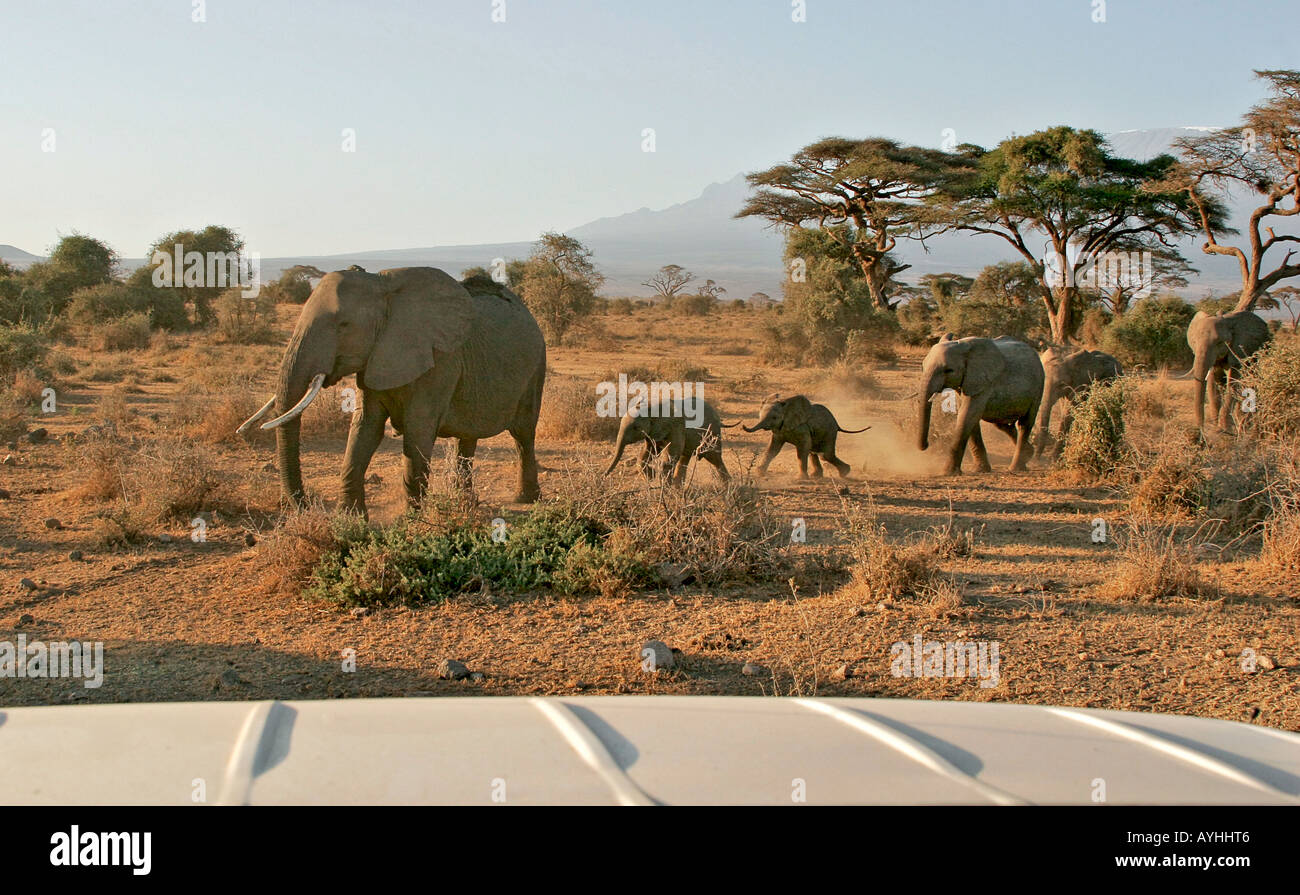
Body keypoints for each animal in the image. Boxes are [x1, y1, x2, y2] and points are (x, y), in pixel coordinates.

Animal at [237, 269, 546, 518]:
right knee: (467, 438)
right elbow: (365, 429)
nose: (308, 507)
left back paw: (526, 499)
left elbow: (417, 432)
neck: (383, 288)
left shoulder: (440, 361)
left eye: (343, 325)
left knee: (523, 434)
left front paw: (412, 521)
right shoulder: (374, 357)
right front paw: (349, 520)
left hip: (536, 366)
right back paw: (467, 502)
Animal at [734, 393, 869, 478]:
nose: (743, 425)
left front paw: (800, 479)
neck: (786, 407)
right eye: (759, 415)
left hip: (829, 432)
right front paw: (759, 473)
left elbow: (802, 449)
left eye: (774, 418)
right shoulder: (779, 431)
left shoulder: (802, 428)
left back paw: (844, 473)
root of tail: (837, 423)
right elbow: (773, 449)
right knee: (814, 452)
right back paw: (817, 476)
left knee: (825, 455)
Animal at [917, 334, 1044, 475]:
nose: (926, 445)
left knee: (1025, 423)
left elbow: (967, 415)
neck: (962, 347)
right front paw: (981, 470)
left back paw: (1016, 468)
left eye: (949, 370)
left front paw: (947, 473)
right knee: (1001, 424)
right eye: (922, 367)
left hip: (1038, 387)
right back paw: (1028, 454)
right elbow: (969, 417)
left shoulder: (982, 383)